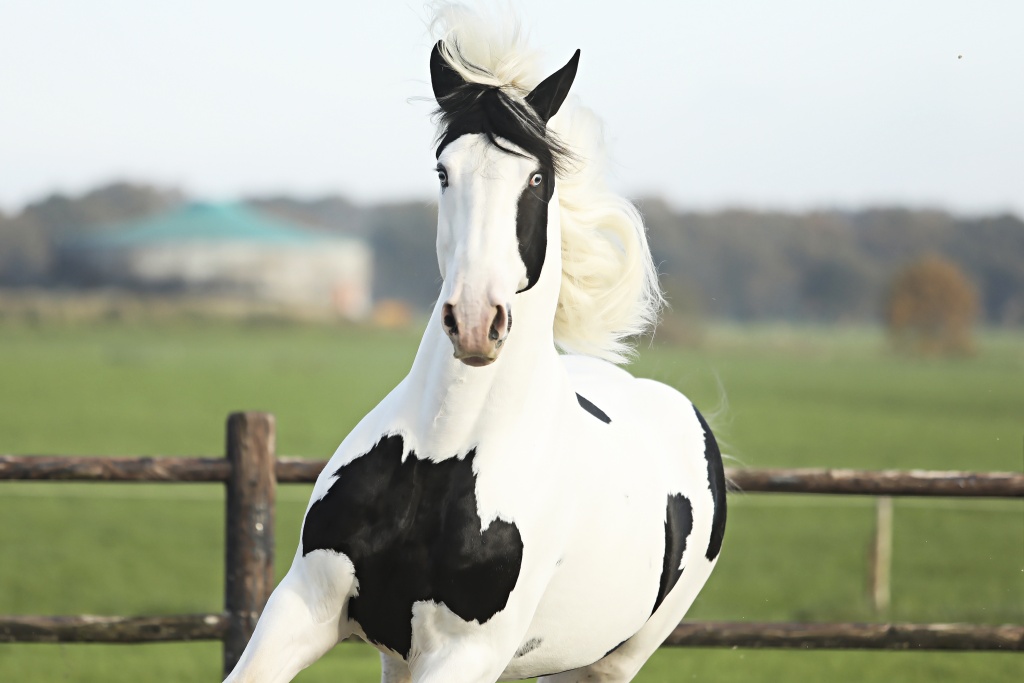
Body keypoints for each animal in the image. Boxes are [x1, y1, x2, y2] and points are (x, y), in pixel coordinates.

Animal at [223, 6, 726, 683]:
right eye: (443, 170)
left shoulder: (465, 654)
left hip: (610, 663)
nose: (474, 320)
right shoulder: (304, 606)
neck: (442, 454)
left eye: (536, 176)